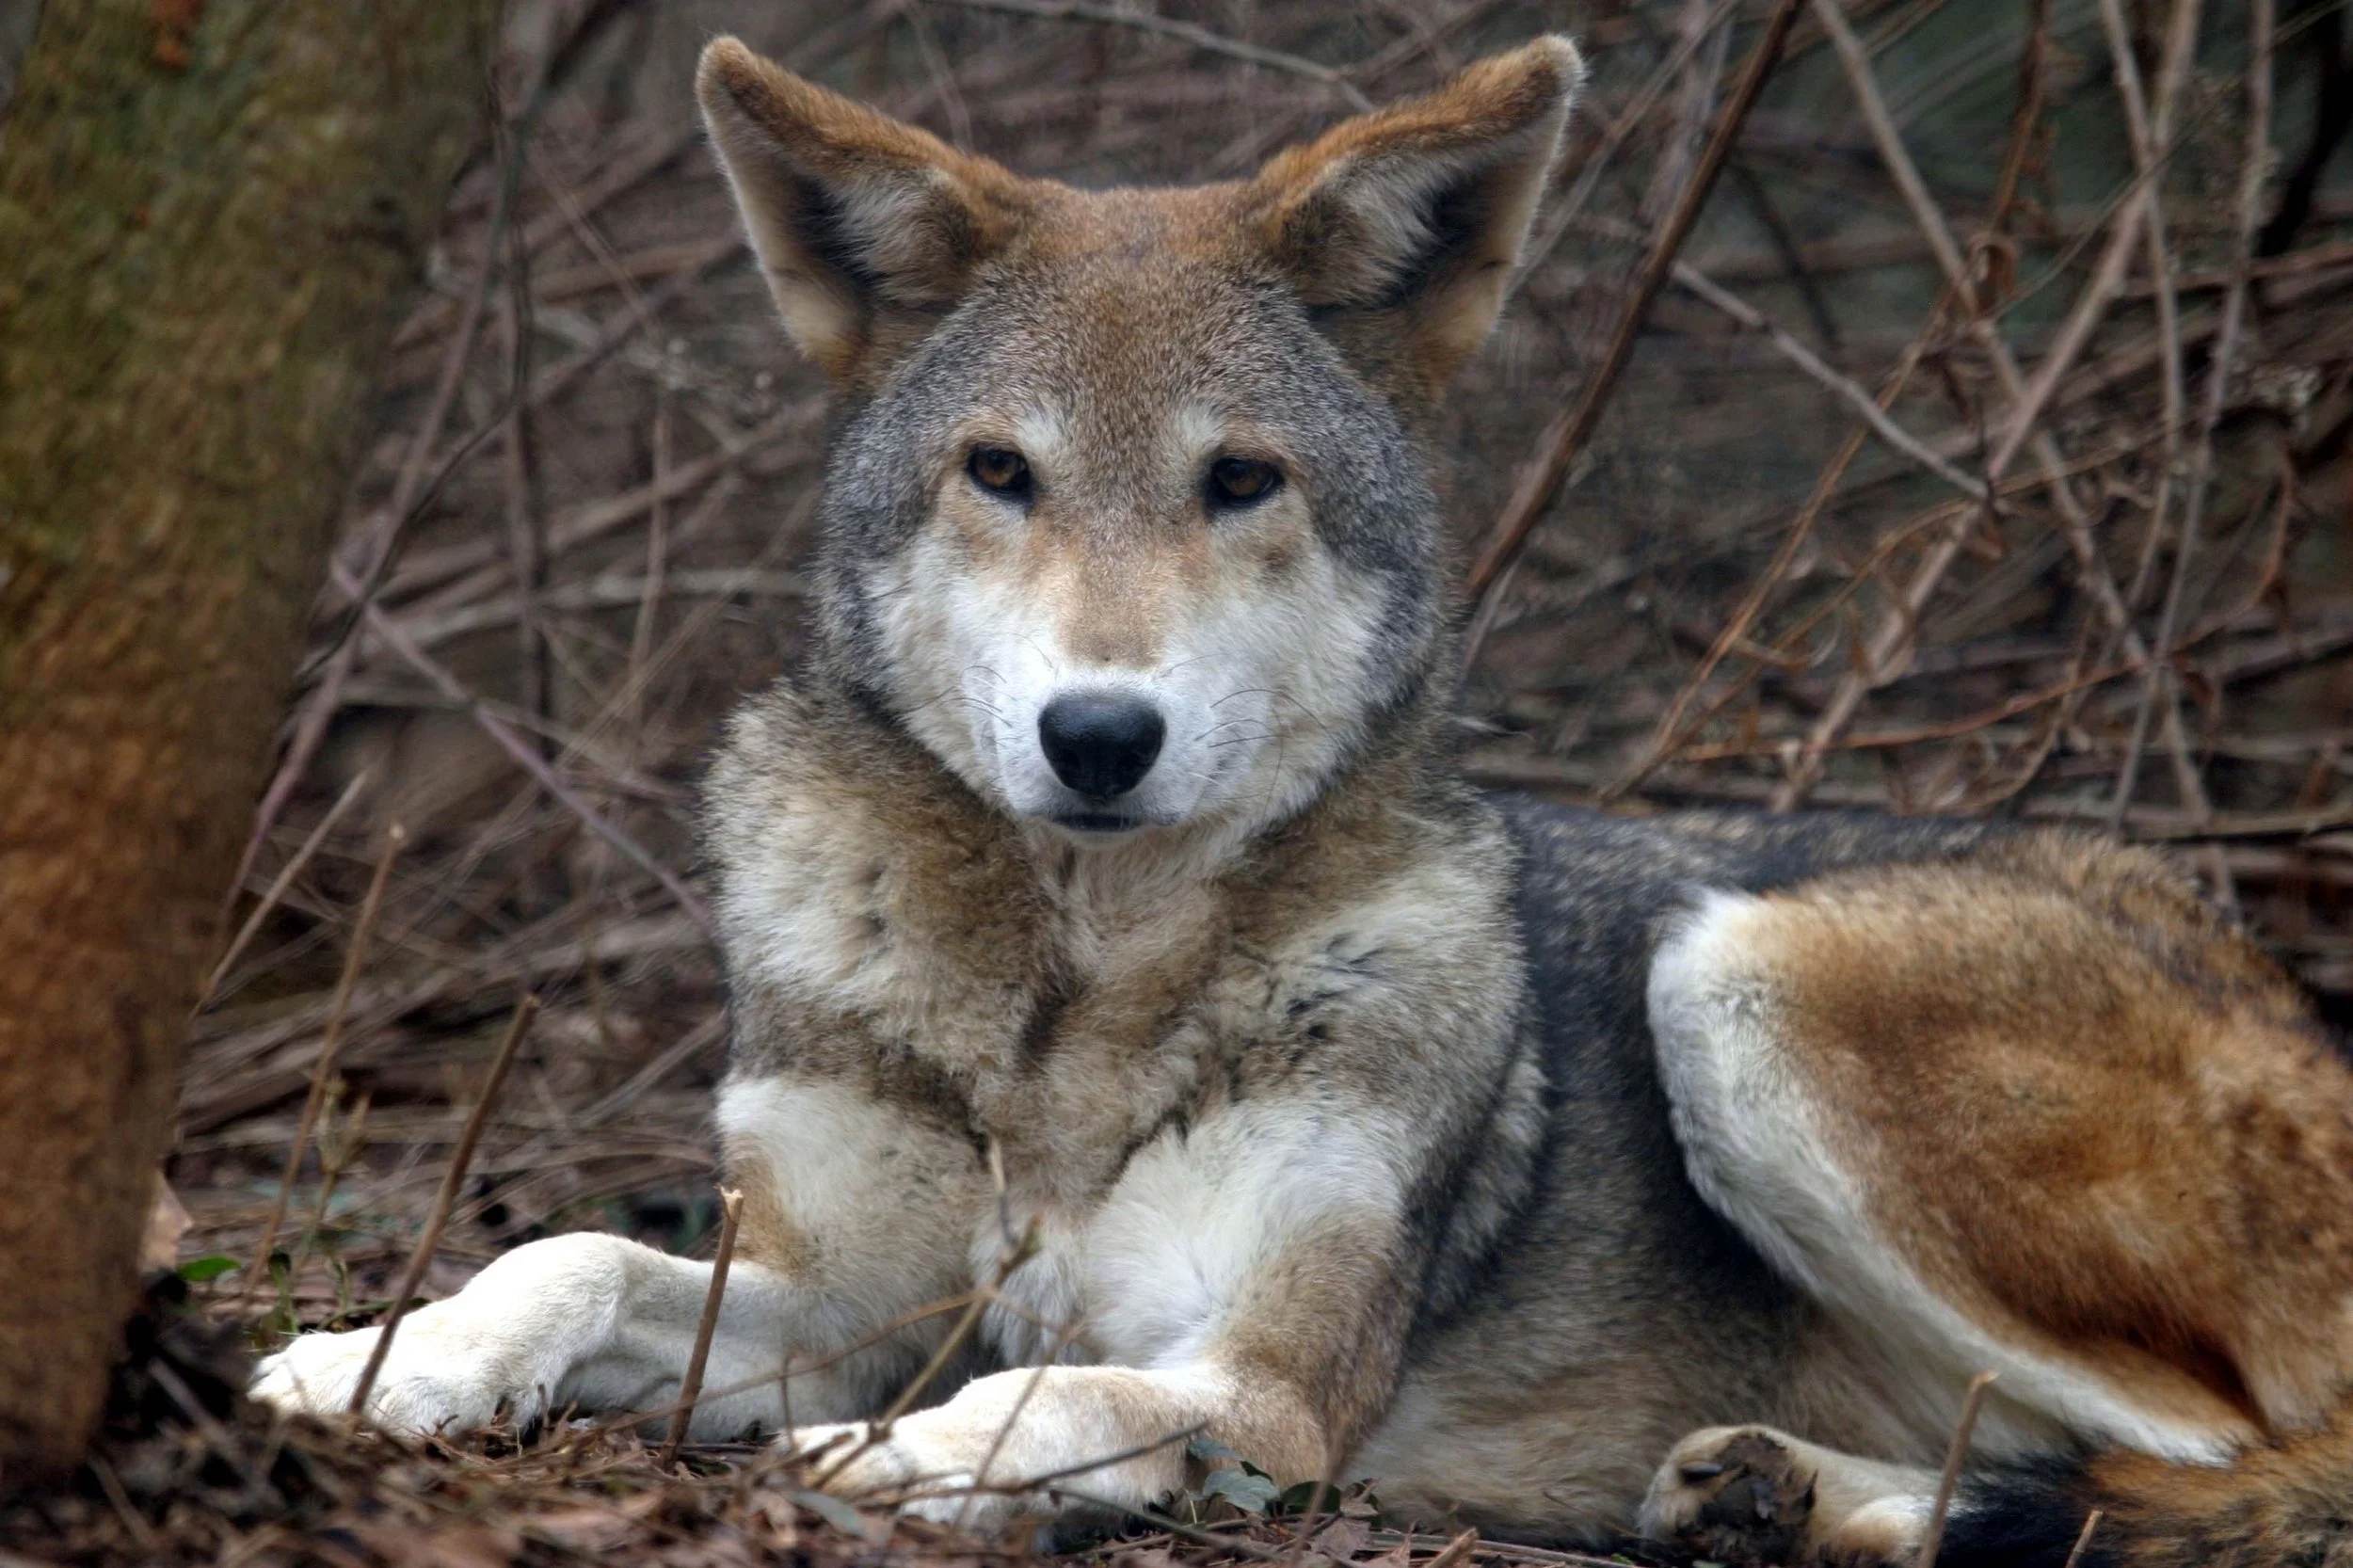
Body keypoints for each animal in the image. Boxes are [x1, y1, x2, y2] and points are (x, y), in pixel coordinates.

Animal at [254, 34, 2353, 1566]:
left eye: (1239, 480)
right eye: (999, 472)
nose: (1099, 734)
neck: (1080, 1001)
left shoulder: (1266, 1374)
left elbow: (1068, 1394)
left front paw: (896, 1465)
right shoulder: (830, 1286)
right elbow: (572, 1251)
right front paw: (379, 1355)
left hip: (1742, 973)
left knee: (2245, 1464)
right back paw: (1766, 1490)